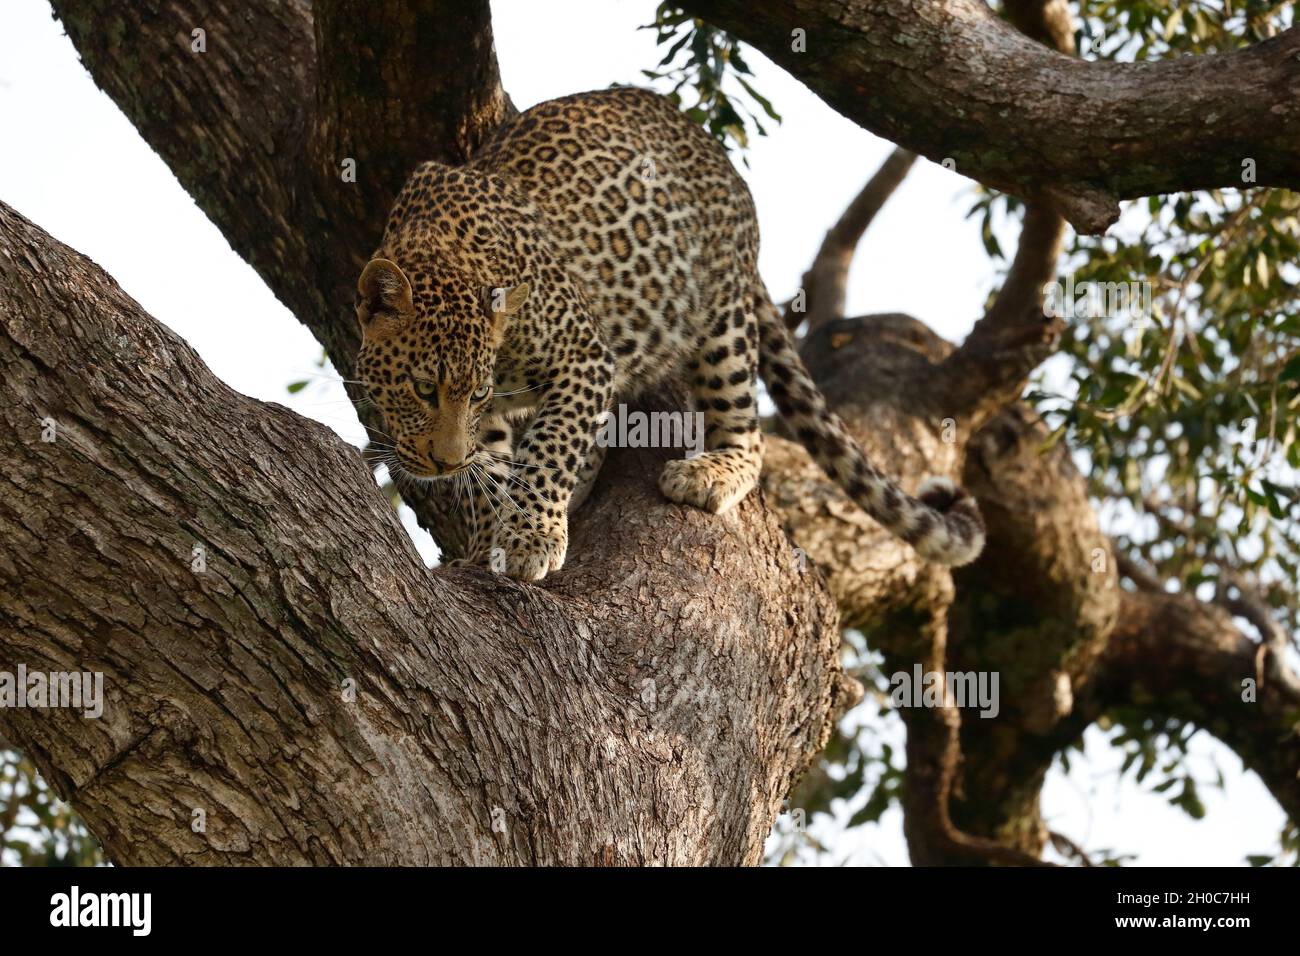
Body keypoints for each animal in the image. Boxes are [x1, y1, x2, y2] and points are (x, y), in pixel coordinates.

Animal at [354, 87, 984, 581]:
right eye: (422, 389)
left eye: (469, 391)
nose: (443, 464)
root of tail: (714, 151)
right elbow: (495, 470)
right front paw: (489, 537)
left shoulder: (583, 355)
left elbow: (552, 446)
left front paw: (530, 536)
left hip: (721, 320)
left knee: (747, 432)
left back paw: (709, 472)